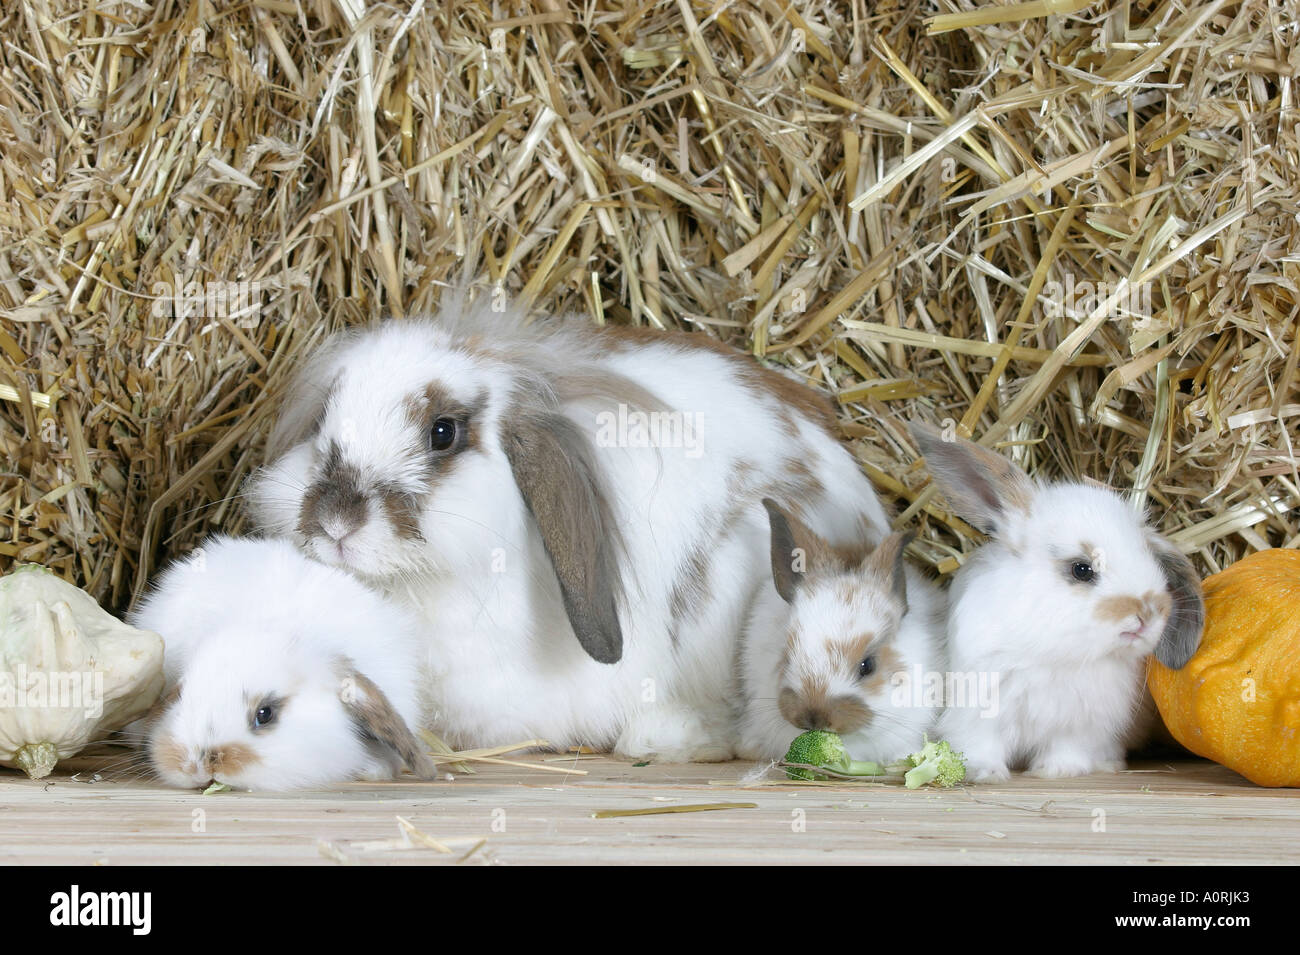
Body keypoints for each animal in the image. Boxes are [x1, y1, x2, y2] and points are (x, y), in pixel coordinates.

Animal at [910, 421, 1204, 782]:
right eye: (1082, 569)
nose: (1148, 615)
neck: (1059, 652)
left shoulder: (1079, 725)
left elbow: (1067, 747)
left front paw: (1058, 772)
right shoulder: (980, 712)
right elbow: (982, 745)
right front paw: (987, 774)